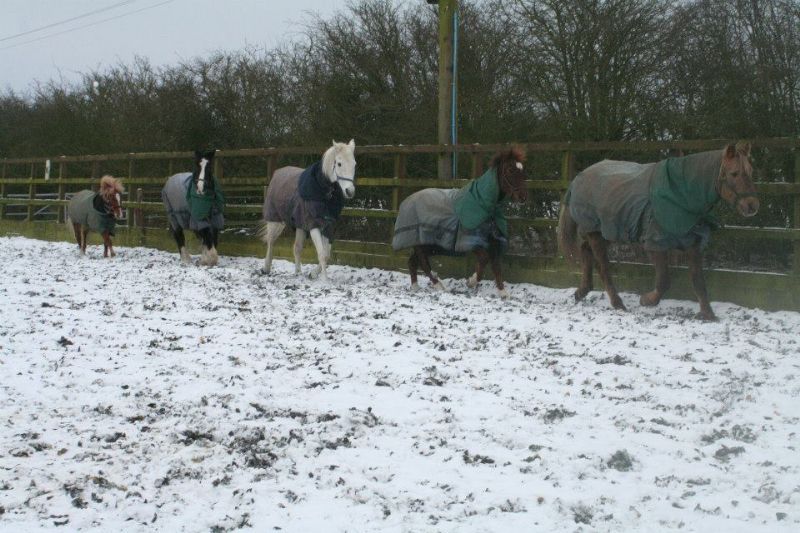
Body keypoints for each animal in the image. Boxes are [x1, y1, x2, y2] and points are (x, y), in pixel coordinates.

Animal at [258, 139, 356, 281]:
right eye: (339, 163)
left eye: (354, 164)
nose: (350, 191)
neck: (323, 192)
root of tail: (277, 174)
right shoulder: (313, 225)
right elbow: (321, 254)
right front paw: (324, 280)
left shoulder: (328, 226)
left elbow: (326, 254)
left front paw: (313, 274)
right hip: (274, 220)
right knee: (271, 242)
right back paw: (266, 268)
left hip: (300, 225)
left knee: (297, 247)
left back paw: (298, 272)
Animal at [392, 148, 529, 298]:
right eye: (510, 170)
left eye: (522, 169)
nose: (522, 197)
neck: (482, 203)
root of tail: (406, 201)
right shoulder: (471, 241)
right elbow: (484, 259)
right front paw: (471, 282)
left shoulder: (493, 241)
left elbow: (496, 265)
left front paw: (503, 292)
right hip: (421, 242)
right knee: (423, 263)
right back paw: (439, 286)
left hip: (429, 245)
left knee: (412, 262)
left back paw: (416, 287)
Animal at [558, 141, 759, 320]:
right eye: (734, 173)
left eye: (750, 172)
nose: (752, 205)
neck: (682, 194)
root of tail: (578, 178)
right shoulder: (655, 244)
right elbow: (664, 281)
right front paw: (646, 300)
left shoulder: (693, 244)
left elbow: (699, 282)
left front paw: (707, 314)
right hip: (595, 232)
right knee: (602, 266)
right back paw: (617, 303)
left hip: (608, 231)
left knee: (585, 251)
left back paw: (582, 292)